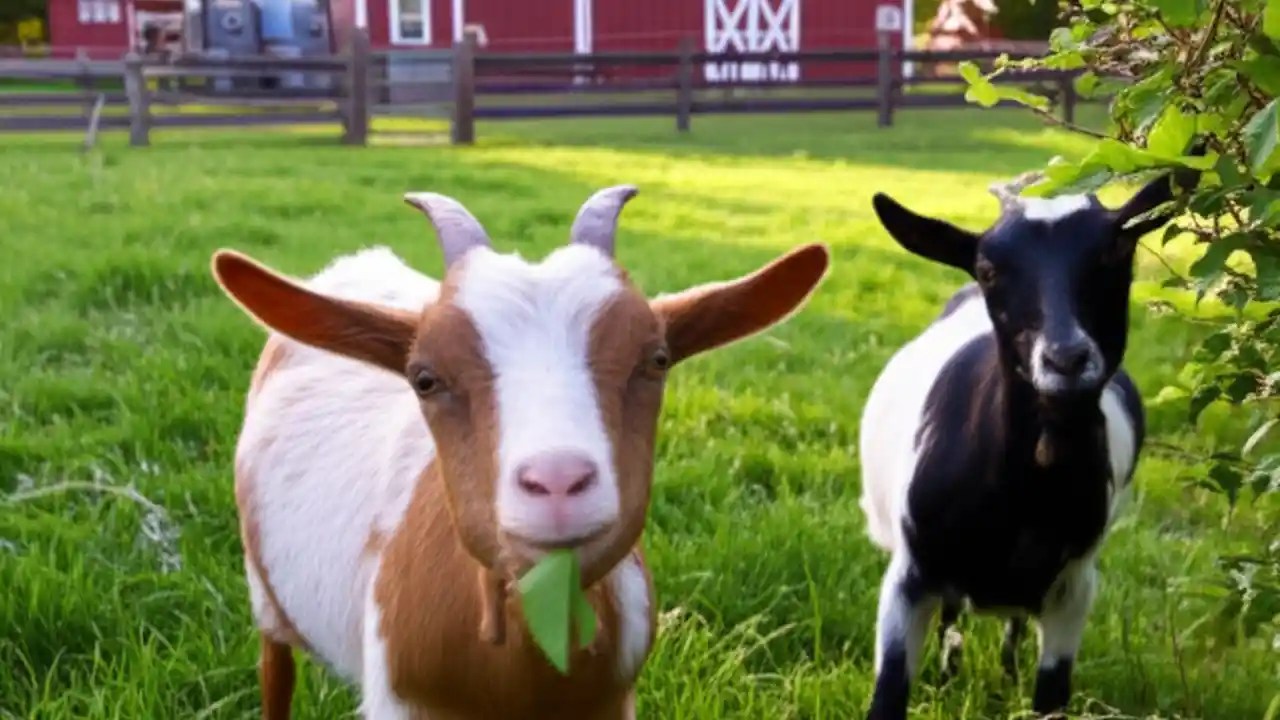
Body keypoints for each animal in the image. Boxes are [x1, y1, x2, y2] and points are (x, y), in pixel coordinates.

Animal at [857, 172, 1189, 719]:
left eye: (1115, 248)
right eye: (989, 269)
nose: (1066, 359)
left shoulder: (1073, 588)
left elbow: (1050, 697)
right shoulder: (908, 577)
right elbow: (889, 693)